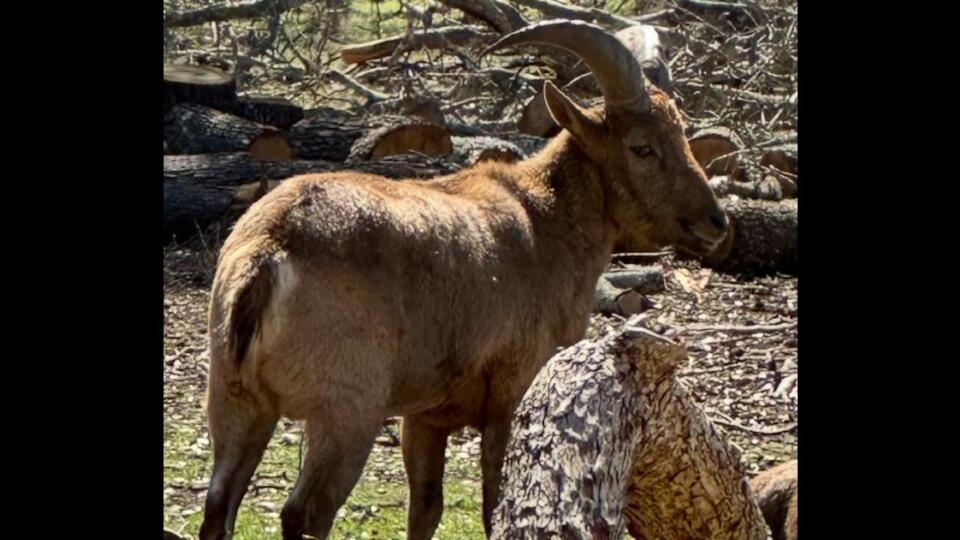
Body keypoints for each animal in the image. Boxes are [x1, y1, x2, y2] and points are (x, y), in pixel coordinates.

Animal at [198, 20, 728, 540]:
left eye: (682, 135)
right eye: (642, 147)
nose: (716, 222)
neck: (544, 220)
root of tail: (269, 252)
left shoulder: (425, 417)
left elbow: (424, 512)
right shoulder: (510, 394)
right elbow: (493, 505)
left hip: (235, 399)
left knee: (219, 505)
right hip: (346, 411)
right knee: (305, 514)